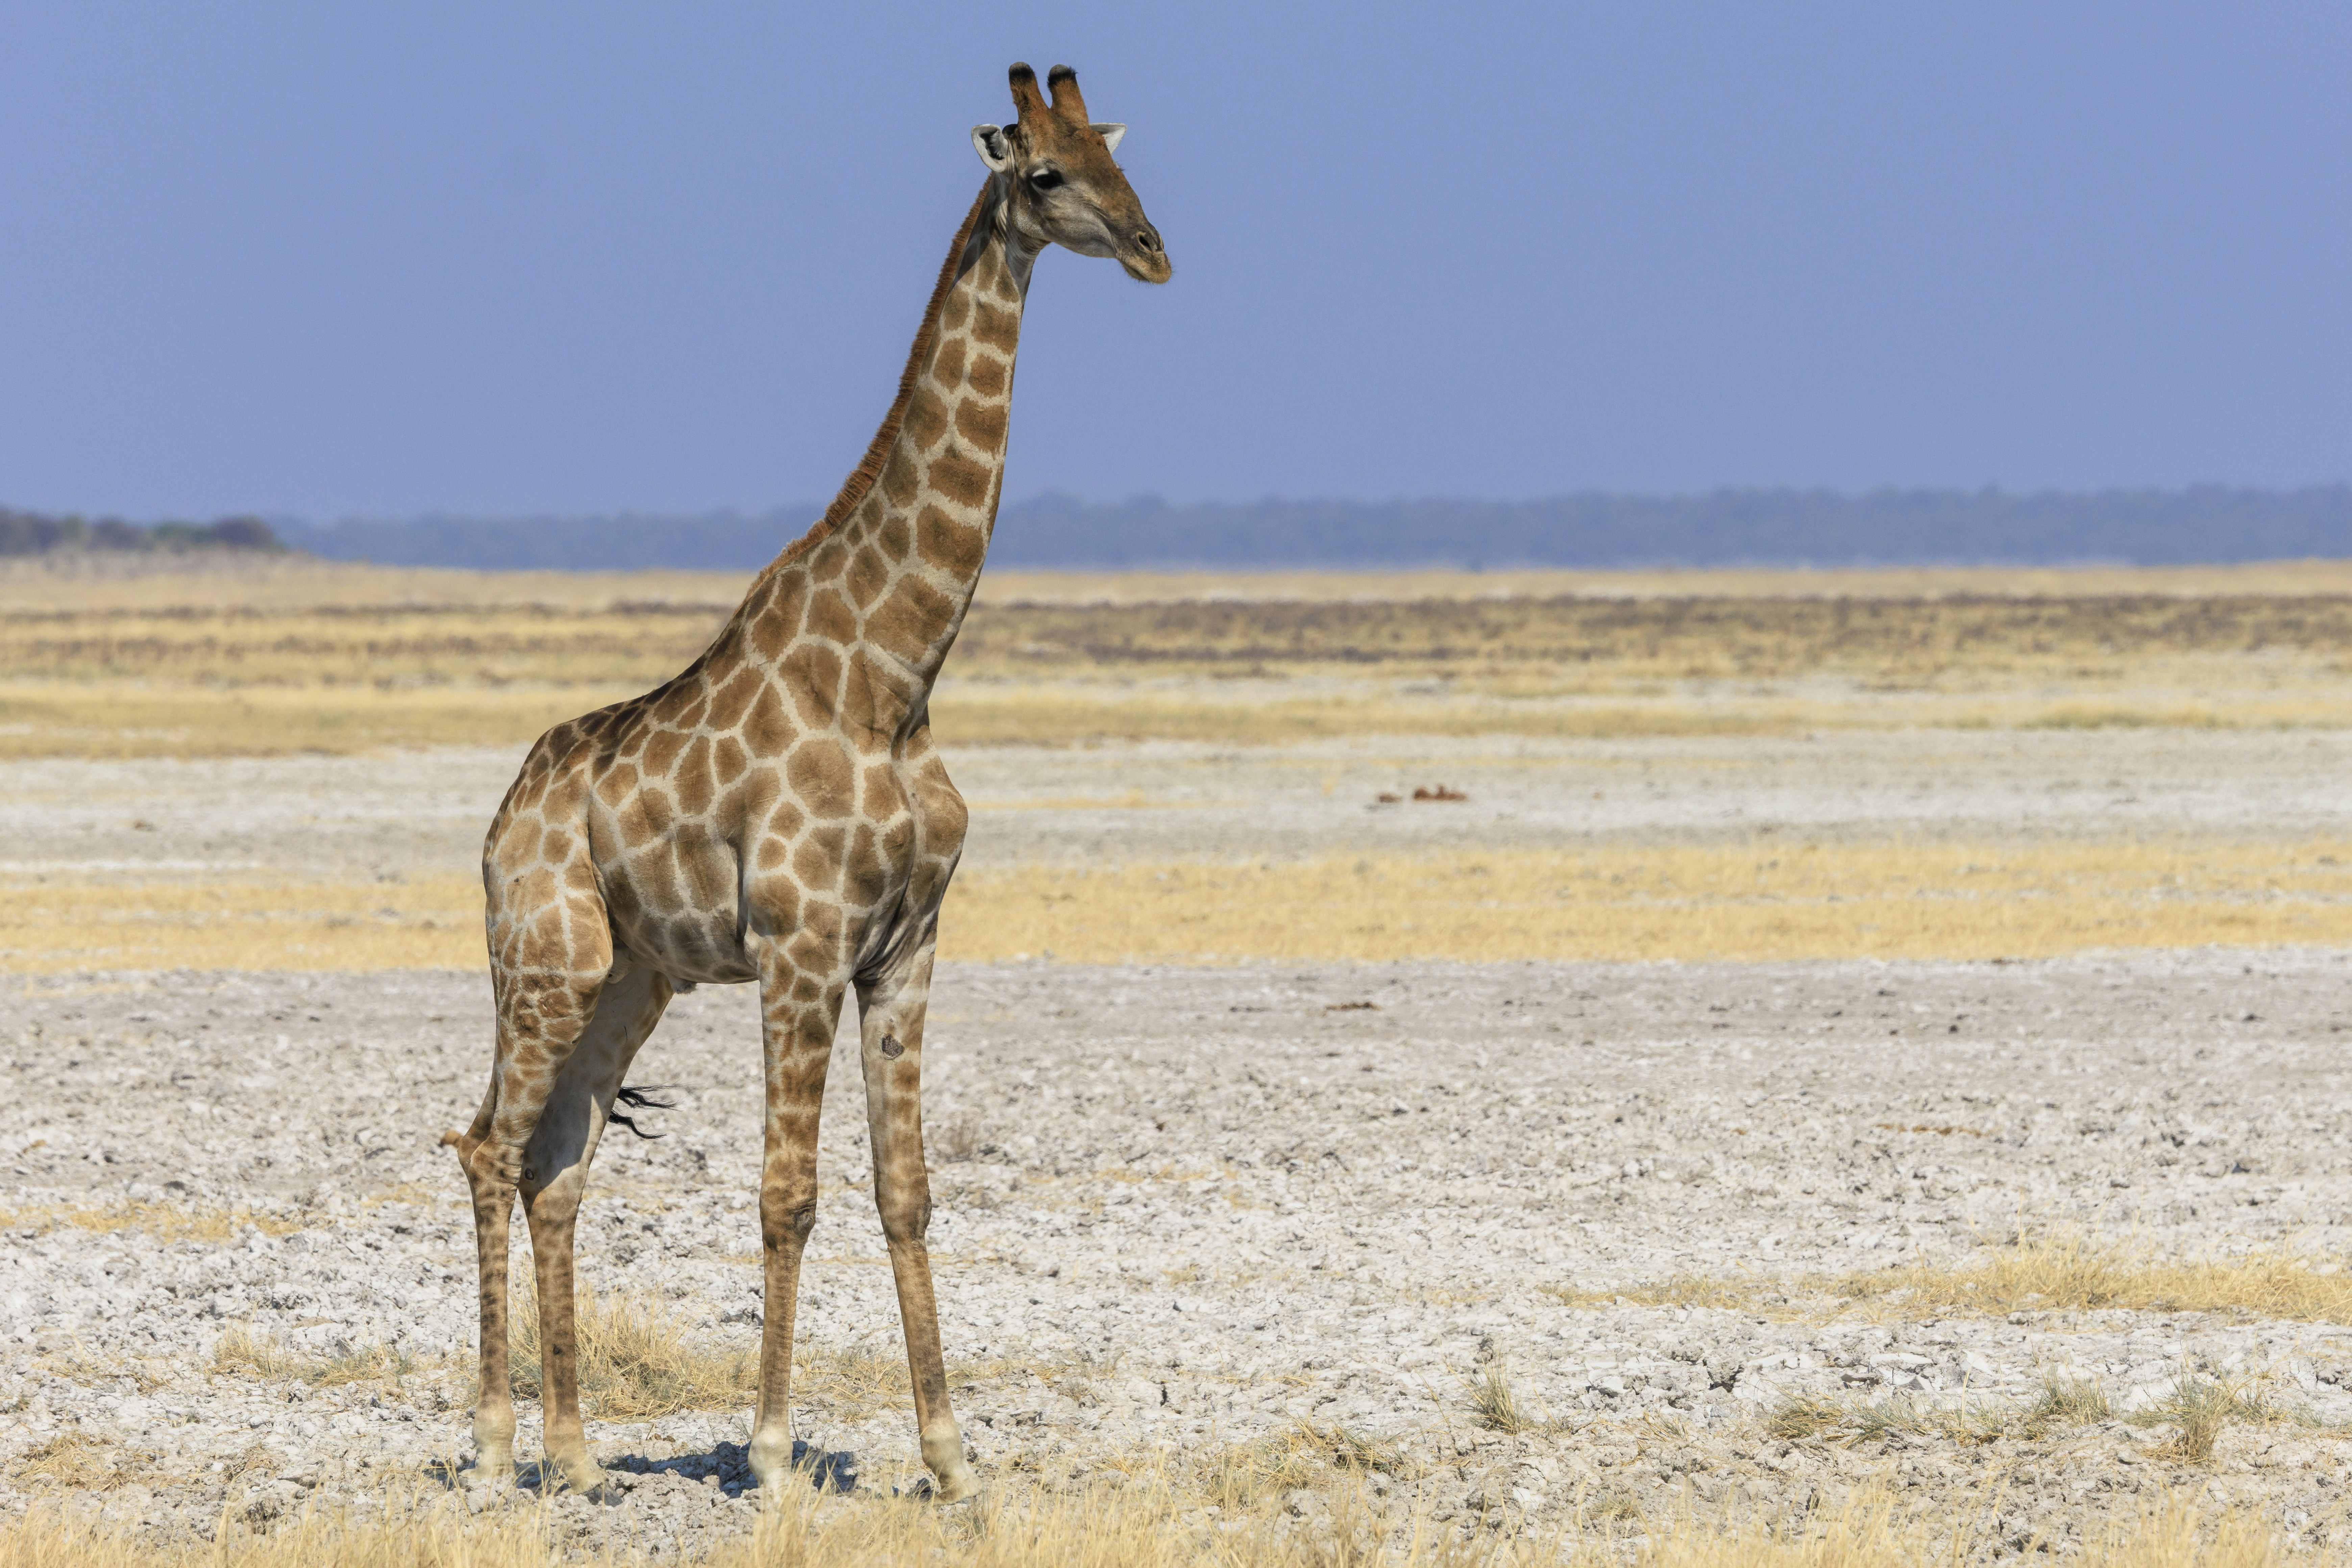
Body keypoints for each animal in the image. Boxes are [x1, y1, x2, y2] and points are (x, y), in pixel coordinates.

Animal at [440, 62, 1168, 1505]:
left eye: (1120, 161)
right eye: (1044, 175)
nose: (1151, 248)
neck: (896, 671)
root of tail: (499, 821)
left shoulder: (908, 945)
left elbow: (906, 1192)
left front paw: (949, 1457)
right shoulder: (799, 942)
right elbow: (787, 1192)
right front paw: (774, 1454)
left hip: (633, 978)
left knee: (555, 1164)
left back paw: (578, 1454)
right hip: (544, 958)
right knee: (491, 1145)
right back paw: (497, 1444)